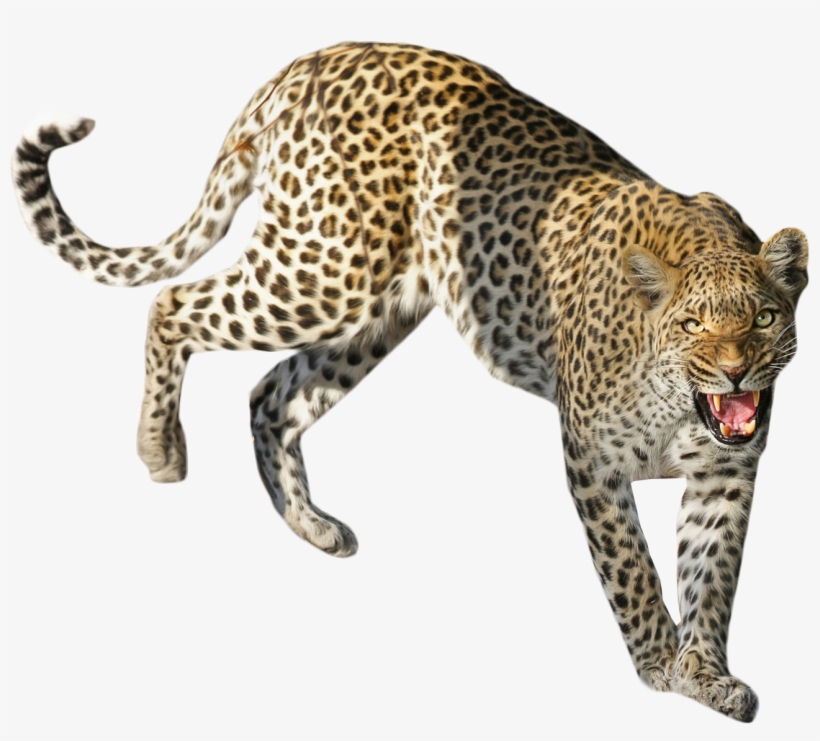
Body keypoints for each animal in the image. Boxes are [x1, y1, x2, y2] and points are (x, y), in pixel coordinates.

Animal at [12, 42, 808, 722]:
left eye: (765, 317)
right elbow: (633, 572)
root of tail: (308, 62)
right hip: (322, 272)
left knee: (271, 395)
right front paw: (659, 665)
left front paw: (705, 674)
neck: (680, 403)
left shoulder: (726, 476)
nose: (735, 369)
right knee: (173, 303)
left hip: (372, 314)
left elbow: (712, 578)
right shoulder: (592, 458)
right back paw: (159, 449)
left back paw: (313, 528)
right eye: (693, 324)